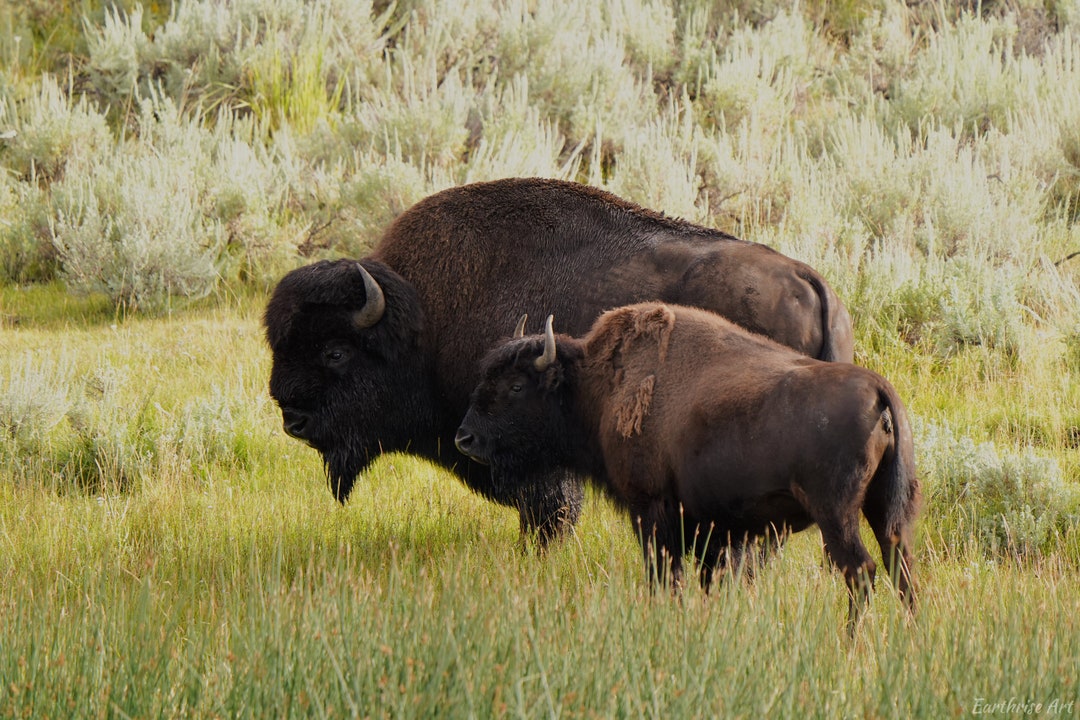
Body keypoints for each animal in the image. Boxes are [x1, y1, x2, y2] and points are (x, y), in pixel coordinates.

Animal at [455, 303, 919, 621]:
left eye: (517, 386)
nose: (465, 438)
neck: (597, 386)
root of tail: (878, 389)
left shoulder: (651, 511)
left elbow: (665, 575)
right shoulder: (710, 529)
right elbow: (707, 578)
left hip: (836, 516)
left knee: (861, 571)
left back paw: (852, 641)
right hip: (884, 511)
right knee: (900, 567)